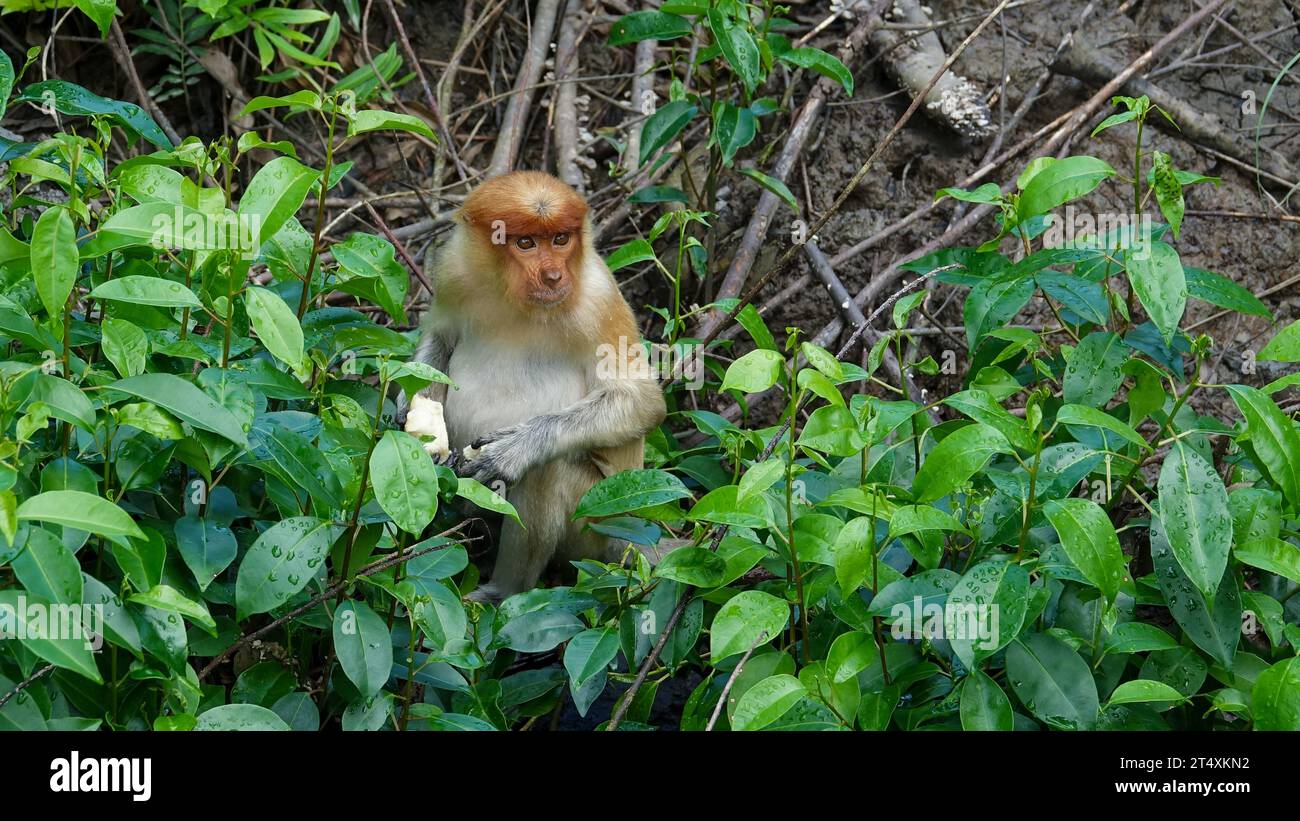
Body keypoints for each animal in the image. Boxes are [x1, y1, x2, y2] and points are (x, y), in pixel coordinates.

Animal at [398, 171, 667, 602]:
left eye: (560, 239)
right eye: (525, 243)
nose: (554, 276)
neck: (513, 298)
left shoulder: (597, 299)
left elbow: (641, 401)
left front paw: (513, 450)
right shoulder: (453, 270)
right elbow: (441, 334)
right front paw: (409, 409)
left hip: (595, 520)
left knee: (549, 469)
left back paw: (502, 593)